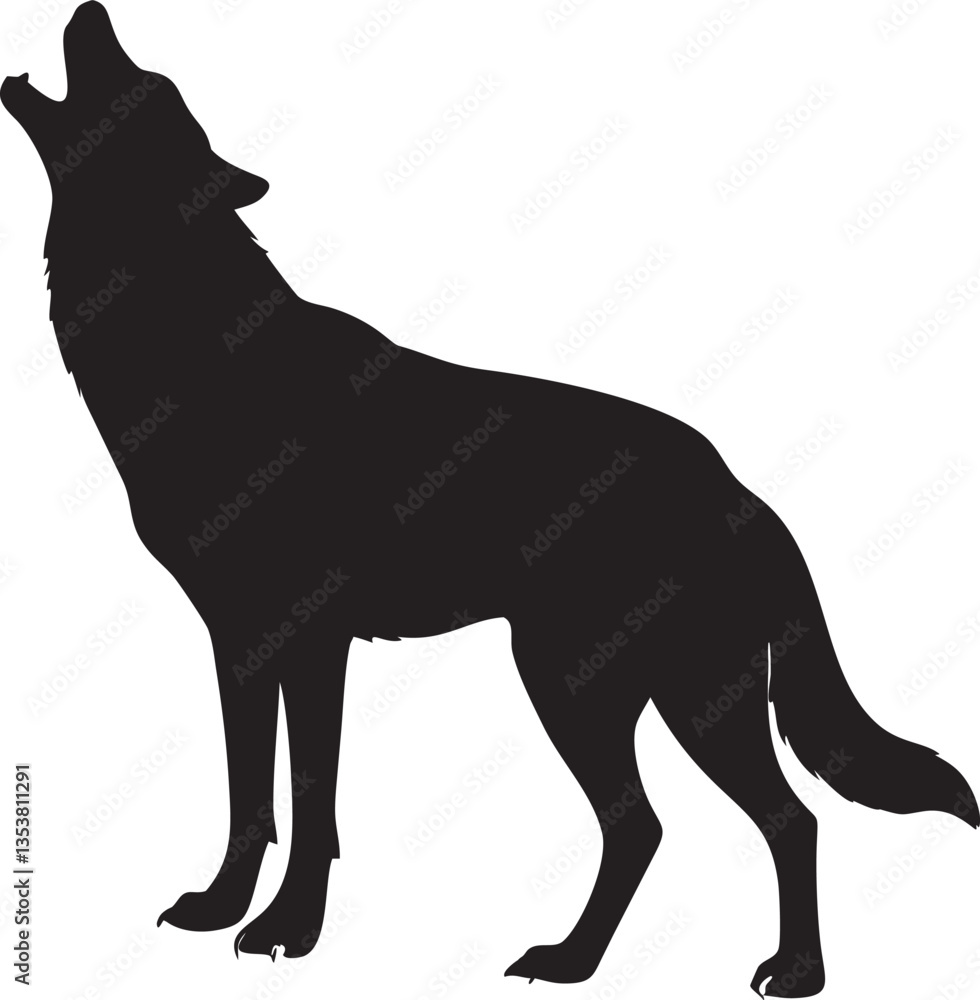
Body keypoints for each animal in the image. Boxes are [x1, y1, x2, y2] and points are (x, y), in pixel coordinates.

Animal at [3, 3, 975, 995]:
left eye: (145, 85)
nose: (92, 12)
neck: (195, 345)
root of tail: (742, 488)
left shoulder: (312, 646)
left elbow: (312, 804)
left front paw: (291, 929)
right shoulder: (239, 647)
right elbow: (250, 800)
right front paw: (221, 908)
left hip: (631, 695)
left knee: (778, 820)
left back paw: (792, 971)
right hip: (609, 692)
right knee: (653, 827)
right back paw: (577, 959)